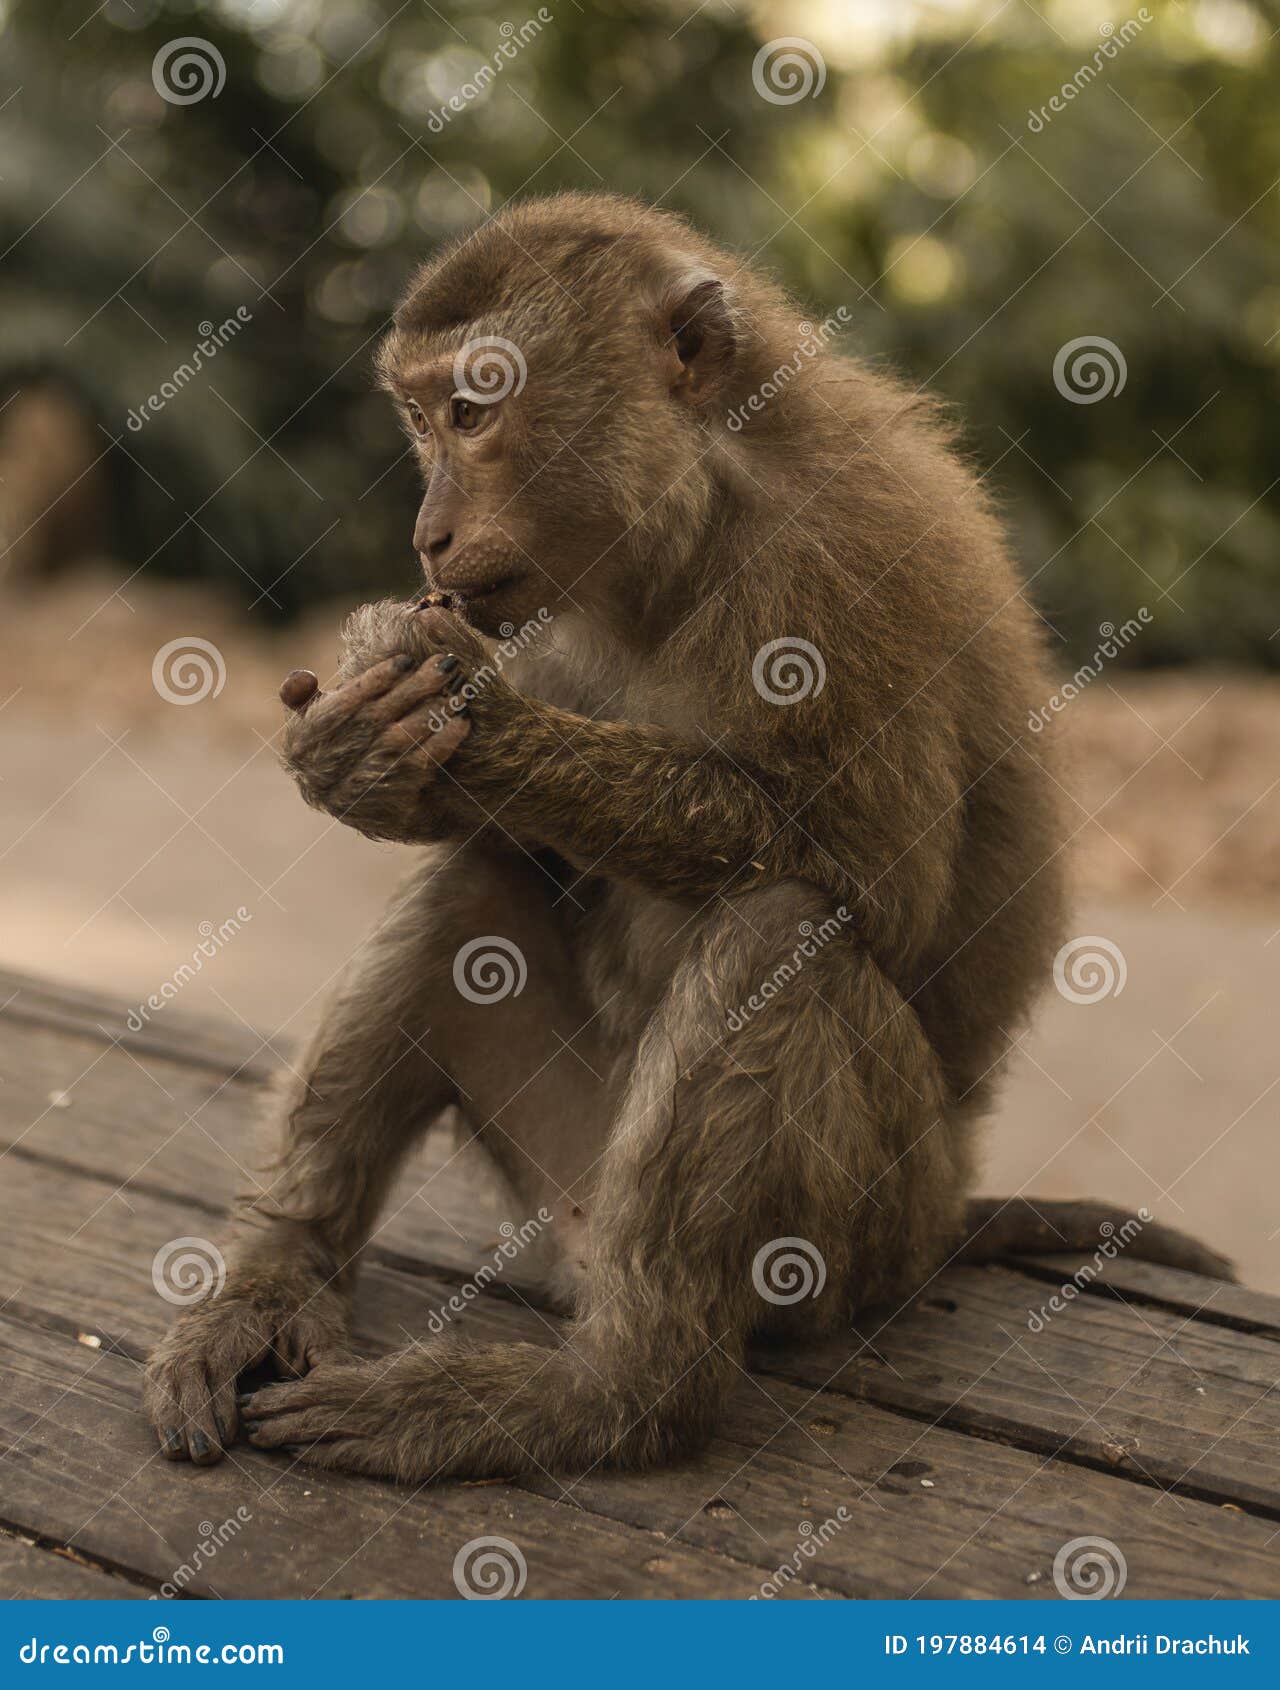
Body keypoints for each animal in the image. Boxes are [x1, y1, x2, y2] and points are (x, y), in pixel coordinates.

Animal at [143, 191, 1232, 1481]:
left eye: (473, 411)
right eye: (419, 418)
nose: (427, 534)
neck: (694, 514)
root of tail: (936, 1219)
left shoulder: (831, 568)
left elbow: (881, 885)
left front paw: (477, 735)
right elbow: (514, 851)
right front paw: (364, 759)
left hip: (862, 1222)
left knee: (780, 930)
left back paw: (612, 1396)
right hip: (557, 1161)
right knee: (470, 893)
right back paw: (274, 1284)